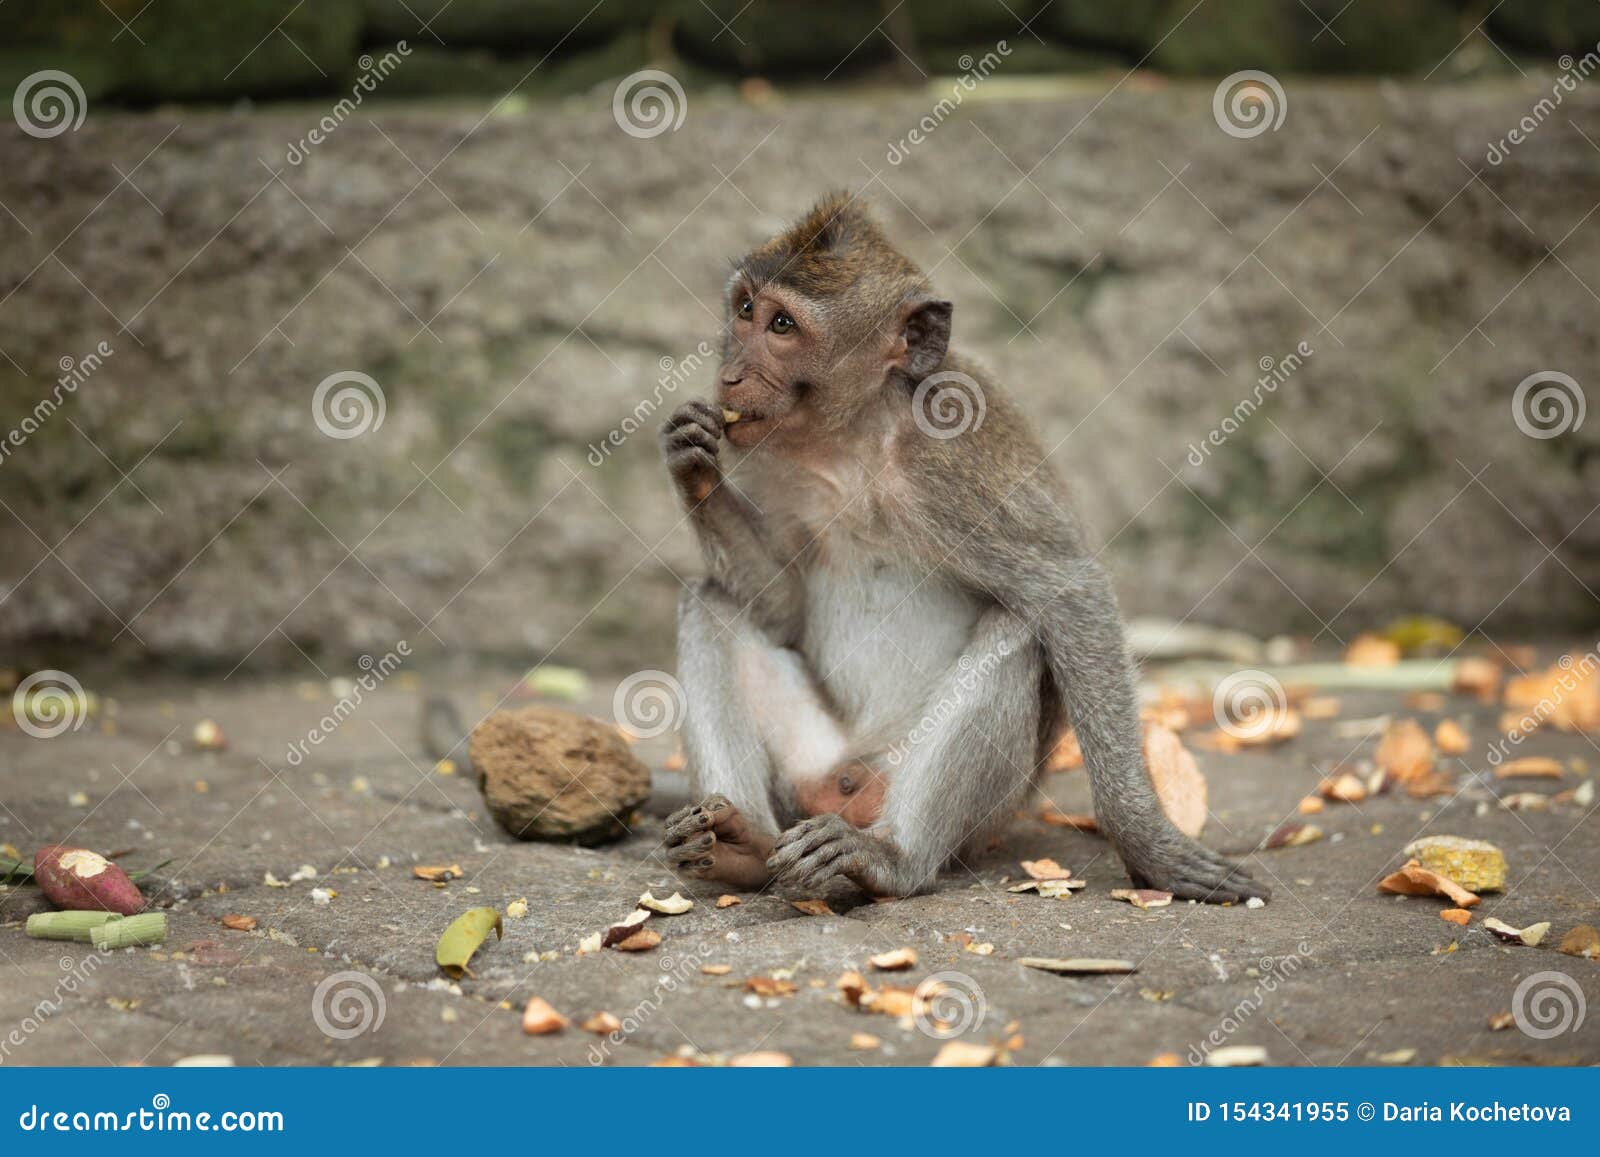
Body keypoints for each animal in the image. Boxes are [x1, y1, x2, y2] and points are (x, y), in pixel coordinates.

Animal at [659, 192, 1267, 905]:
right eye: (745, 309)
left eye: (782, 325)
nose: (729, 375)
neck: (855, 439)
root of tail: (849, 786)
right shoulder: (774, 464)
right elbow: (783, 610)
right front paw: (692, 464)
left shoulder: (957, 463)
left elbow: (1071, 592)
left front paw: (1149, 845)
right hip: (810, 763)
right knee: (711, 604)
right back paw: (745, 847)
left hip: (958, 811)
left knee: (1018, 632)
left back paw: (888, 858)